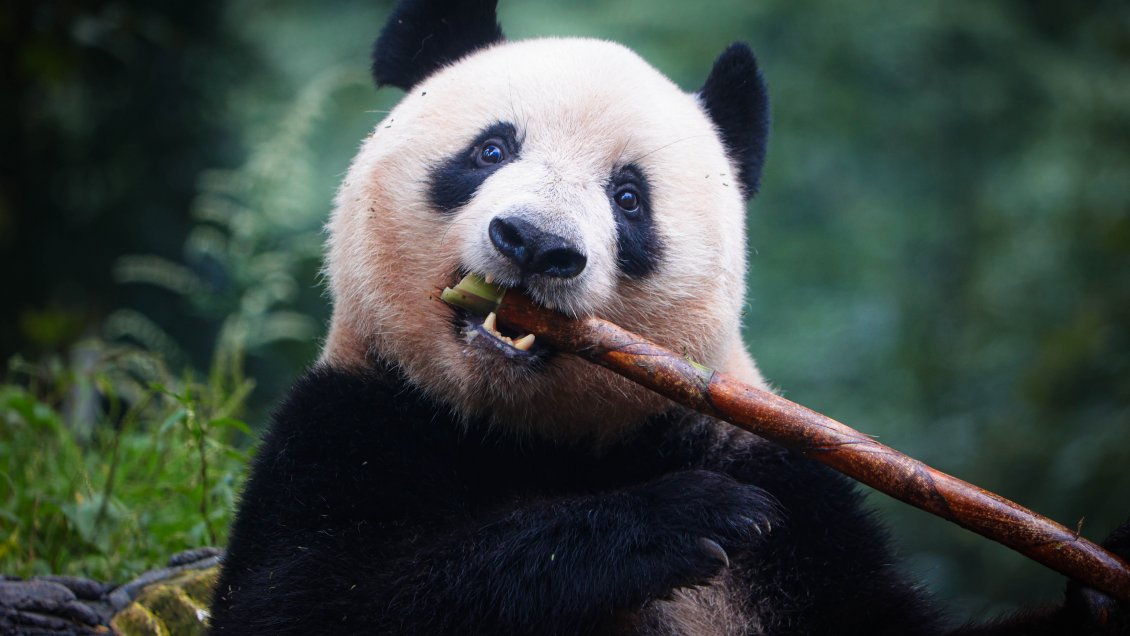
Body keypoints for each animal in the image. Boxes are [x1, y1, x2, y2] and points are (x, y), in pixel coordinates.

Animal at [209, 0, 1130, 634]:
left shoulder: (787, 490)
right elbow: (307, 603)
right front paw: (681, 520)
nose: (535, 244)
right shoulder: (353, 425)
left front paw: (1096, 594)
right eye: (491, 150)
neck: (526, 436)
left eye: (628, 199)